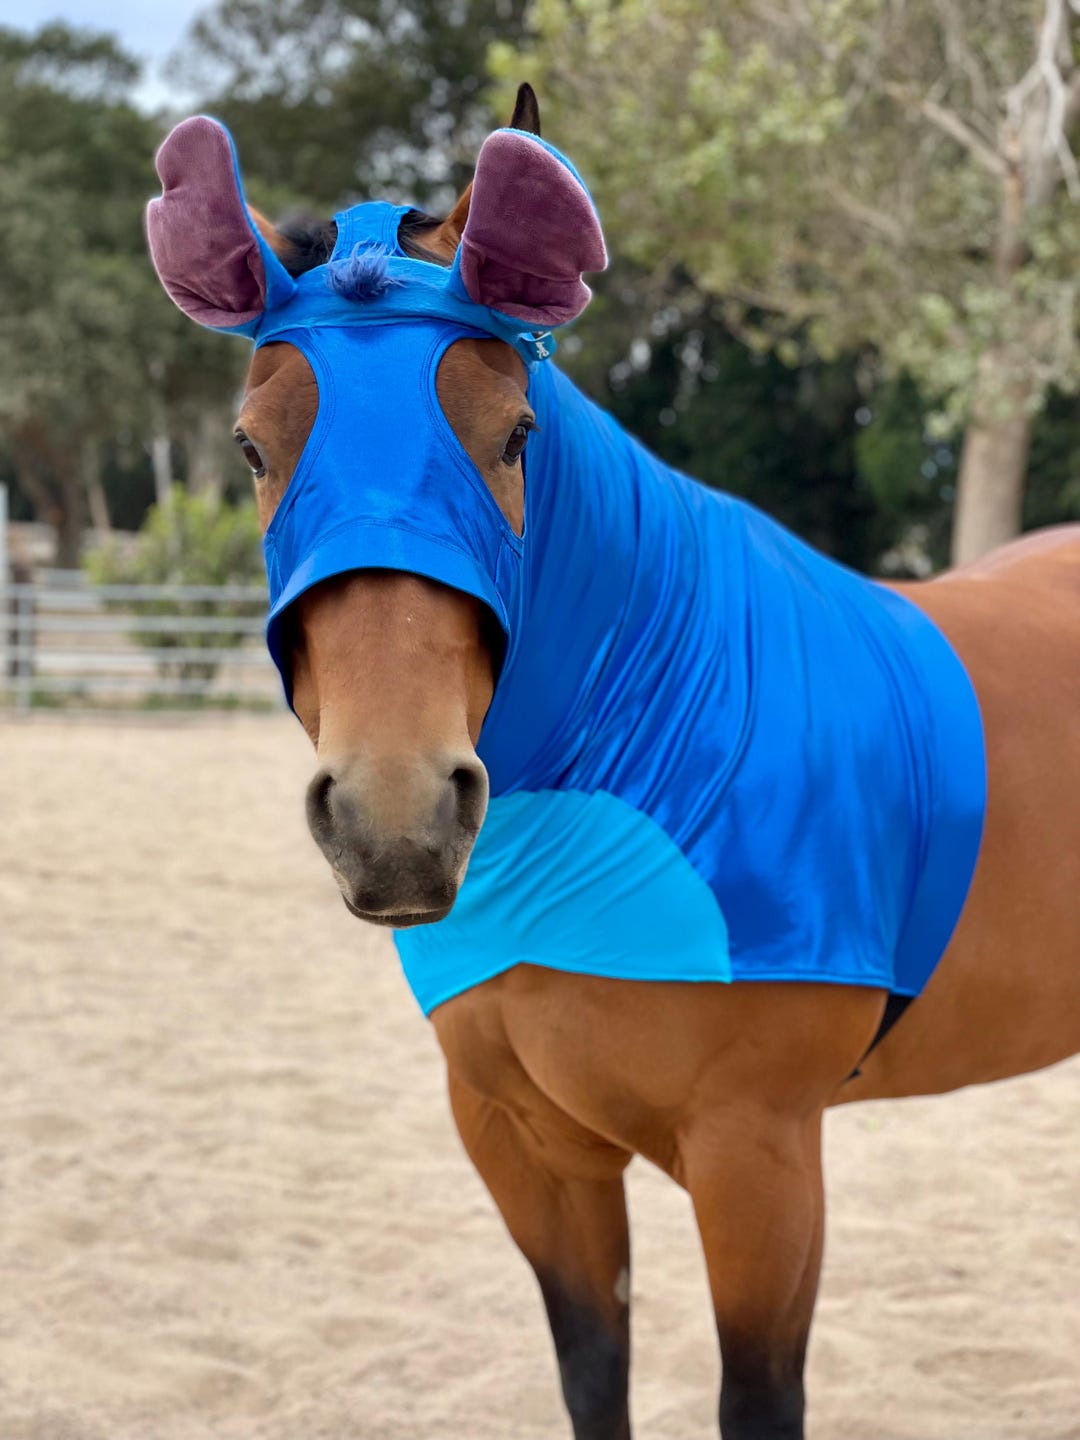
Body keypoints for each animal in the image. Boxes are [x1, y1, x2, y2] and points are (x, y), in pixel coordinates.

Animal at [146, 88, 1080, 1440]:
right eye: (254, 450)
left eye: (514, 435)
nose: (395, 816)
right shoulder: (527, 1146)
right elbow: (593, 1375)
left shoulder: (760, 1160)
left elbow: (756, 1397)